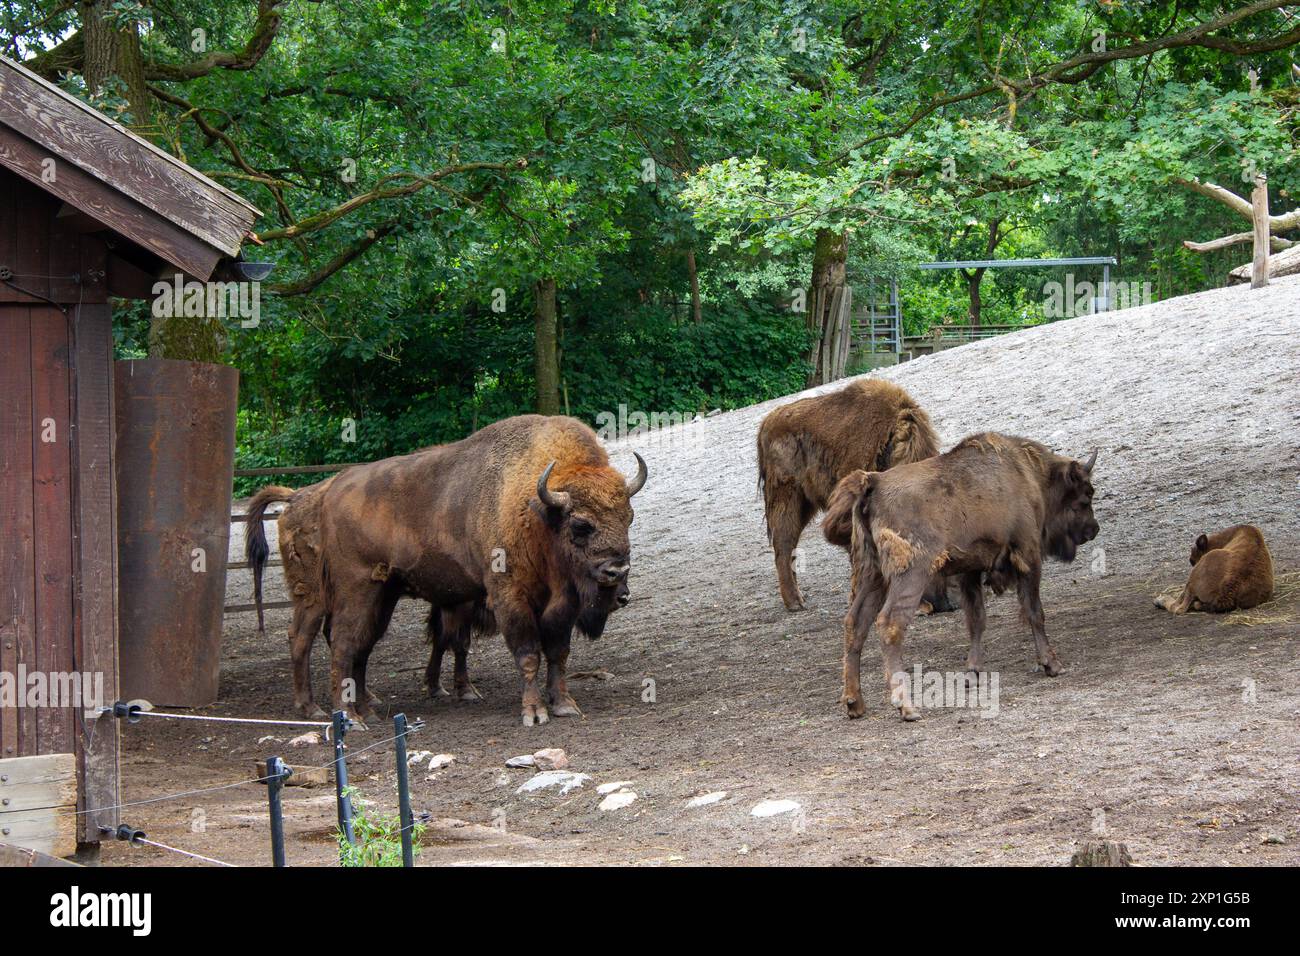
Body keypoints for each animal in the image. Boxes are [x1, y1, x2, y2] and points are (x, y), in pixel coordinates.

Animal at [822, 433, 1098, 721]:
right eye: (1085, 496)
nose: (1093, 530)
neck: (1027, 474)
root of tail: (873, 483)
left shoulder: (970, 569)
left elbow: (976, 619)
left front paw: (973, 672)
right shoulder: (1027, 556)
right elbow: (1034, 612)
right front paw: (1051, 664)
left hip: (872, 574)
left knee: (855, 623)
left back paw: (854, 703)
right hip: (910, 574)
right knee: (889, 624)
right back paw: (907, 707)